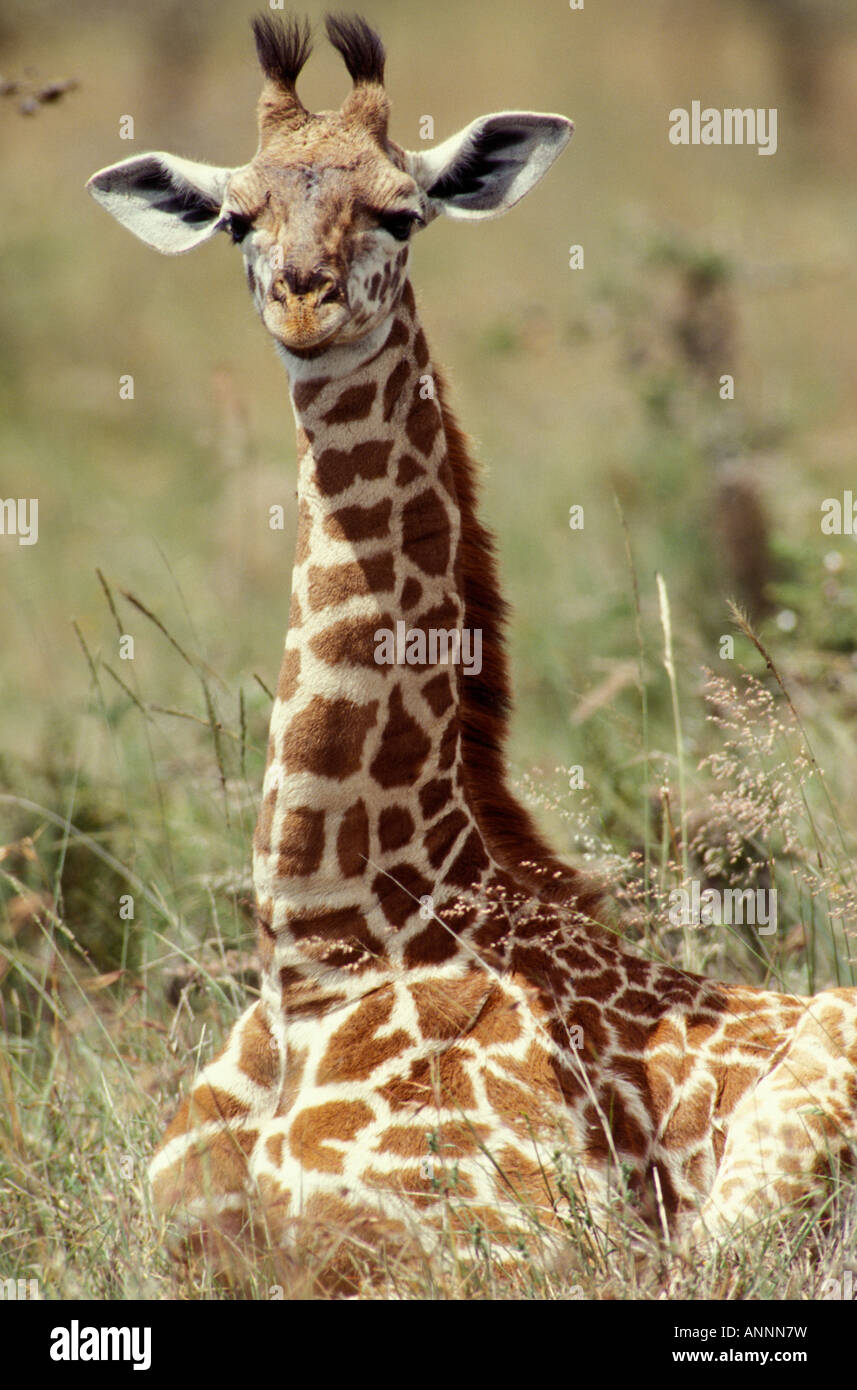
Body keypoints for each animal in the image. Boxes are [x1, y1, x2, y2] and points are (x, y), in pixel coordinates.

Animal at [87, 14, 857, 1280]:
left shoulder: (516, 1240)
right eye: (239, 217)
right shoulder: (173, 1230)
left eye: (402, 211)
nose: (304, 304)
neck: (326, 940)